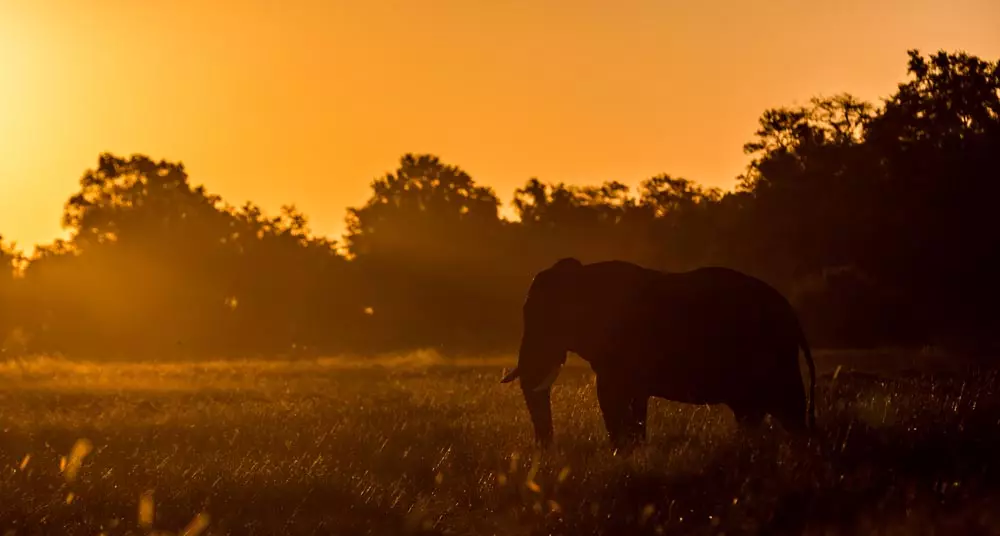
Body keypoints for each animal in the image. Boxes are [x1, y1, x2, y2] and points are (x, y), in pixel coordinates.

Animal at [504, 258, 816, 450]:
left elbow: (609, 395)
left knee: (789, 411)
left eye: (543, 319)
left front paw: (621, 453)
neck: (582, 276)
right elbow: (632, 400)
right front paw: (632, 451)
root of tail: (792, 313)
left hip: (774, 355)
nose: (545, 449)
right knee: (755, 414)